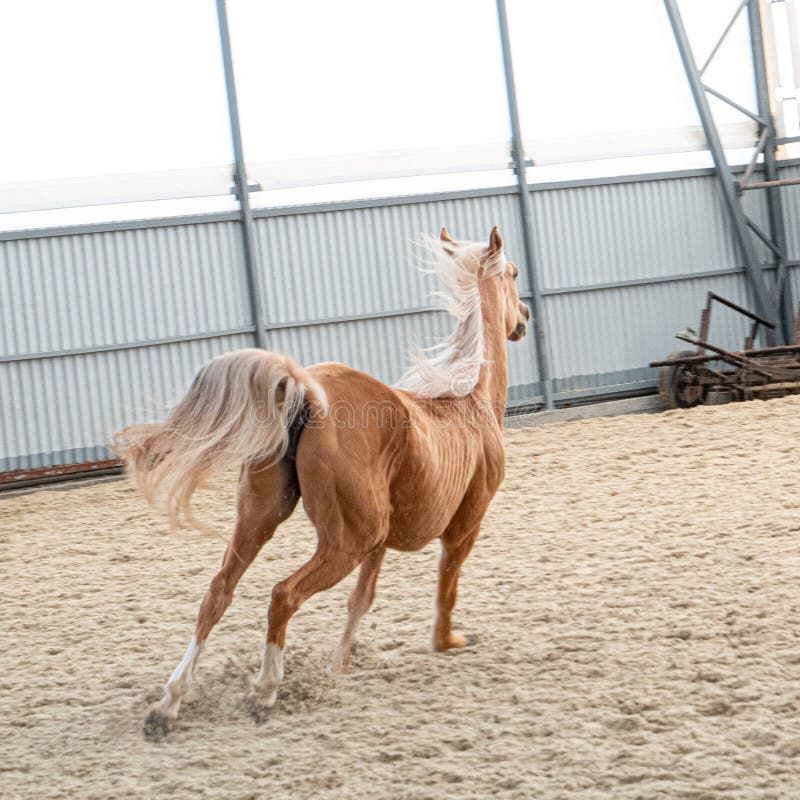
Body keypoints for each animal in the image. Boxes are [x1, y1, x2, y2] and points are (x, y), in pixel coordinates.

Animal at [114, 226, 530, 738]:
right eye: (514, 273)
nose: (524, 318)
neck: (469, 400)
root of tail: (308, 392)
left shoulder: (380, 547)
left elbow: (360, 602)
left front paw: (339, 667)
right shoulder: (463, 529)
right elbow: (444, 587)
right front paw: (447, 640)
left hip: (263, 520)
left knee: (218, 593)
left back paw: (168, 705)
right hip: (344, 542)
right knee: (282, 594)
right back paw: (265, 691)